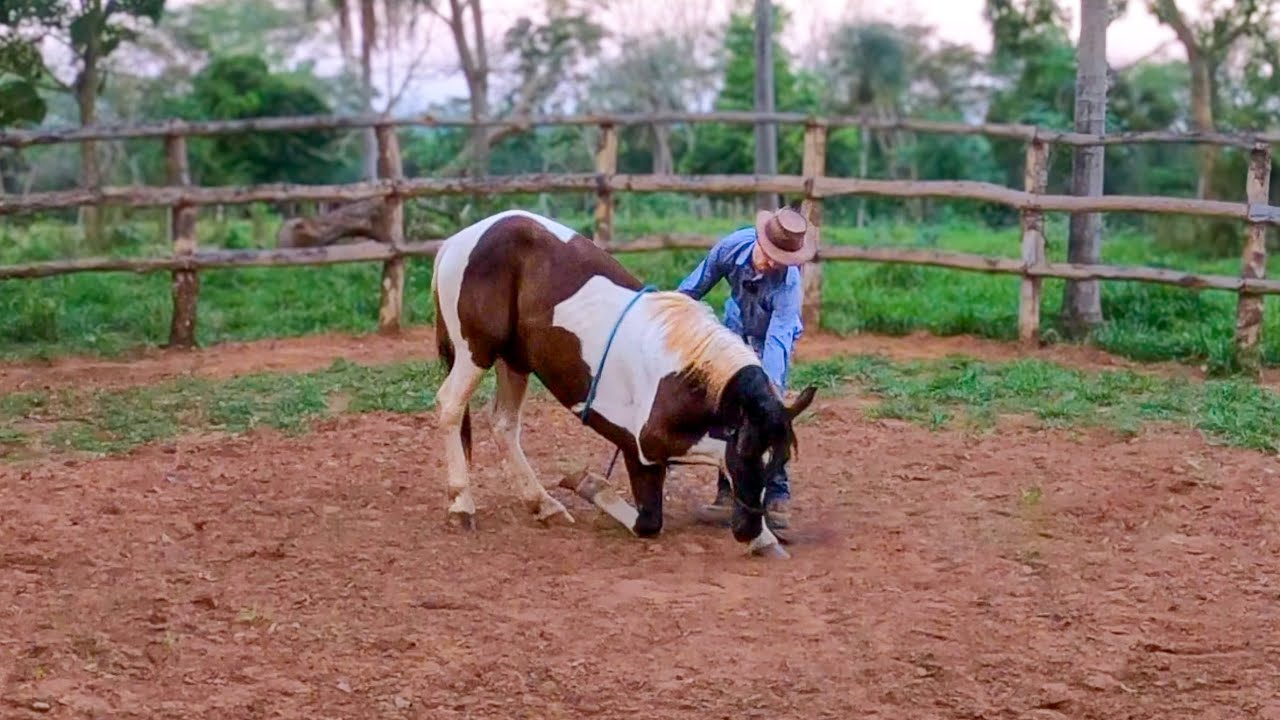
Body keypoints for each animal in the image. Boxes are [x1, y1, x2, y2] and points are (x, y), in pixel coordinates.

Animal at [430, 209, 818, 555]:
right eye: (746, 452)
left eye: (780, 459)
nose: (746, 529)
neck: (681, 373)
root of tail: (455, 242)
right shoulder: (644, 444)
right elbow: (651, 518)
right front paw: (588, 485)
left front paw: (765, 536)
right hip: (476, 351)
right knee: (451, 406)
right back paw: (461, 505)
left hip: (515, 361)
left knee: (504, 424)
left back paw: (544, 505)